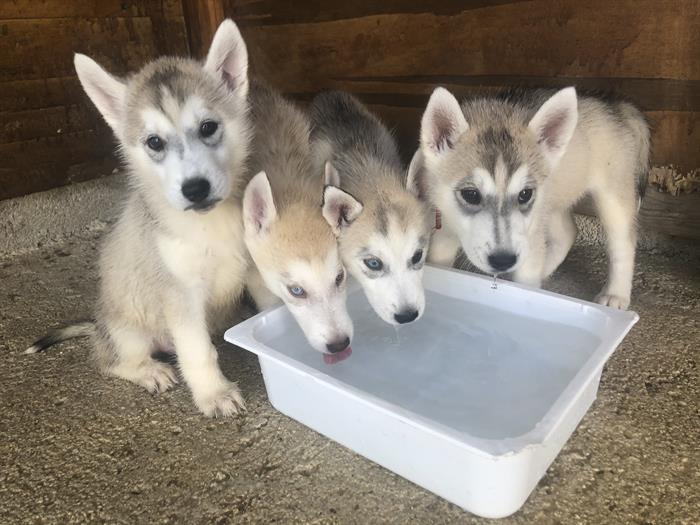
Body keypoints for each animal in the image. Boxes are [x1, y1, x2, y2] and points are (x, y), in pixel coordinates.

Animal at [26, 19, 252, 414]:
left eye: (208, 127)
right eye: (154, 142)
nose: (195, 189)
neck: (209, 225)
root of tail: (97, 325)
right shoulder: (181, 294)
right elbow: (198, 352)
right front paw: (214, 394)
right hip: (127, 331)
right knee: (109, 361)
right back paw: (148, 371)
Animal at [410, 86, 652, 308]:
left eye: (524, 194)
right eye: (470, 195)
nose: (503, 261)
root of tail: (616, 106)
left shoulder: (529, 238)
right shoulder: (444, 232)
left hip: (612, 195)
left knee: (623, 242)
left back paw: (616, 294)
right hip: (549, 203)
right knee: (568, 232)